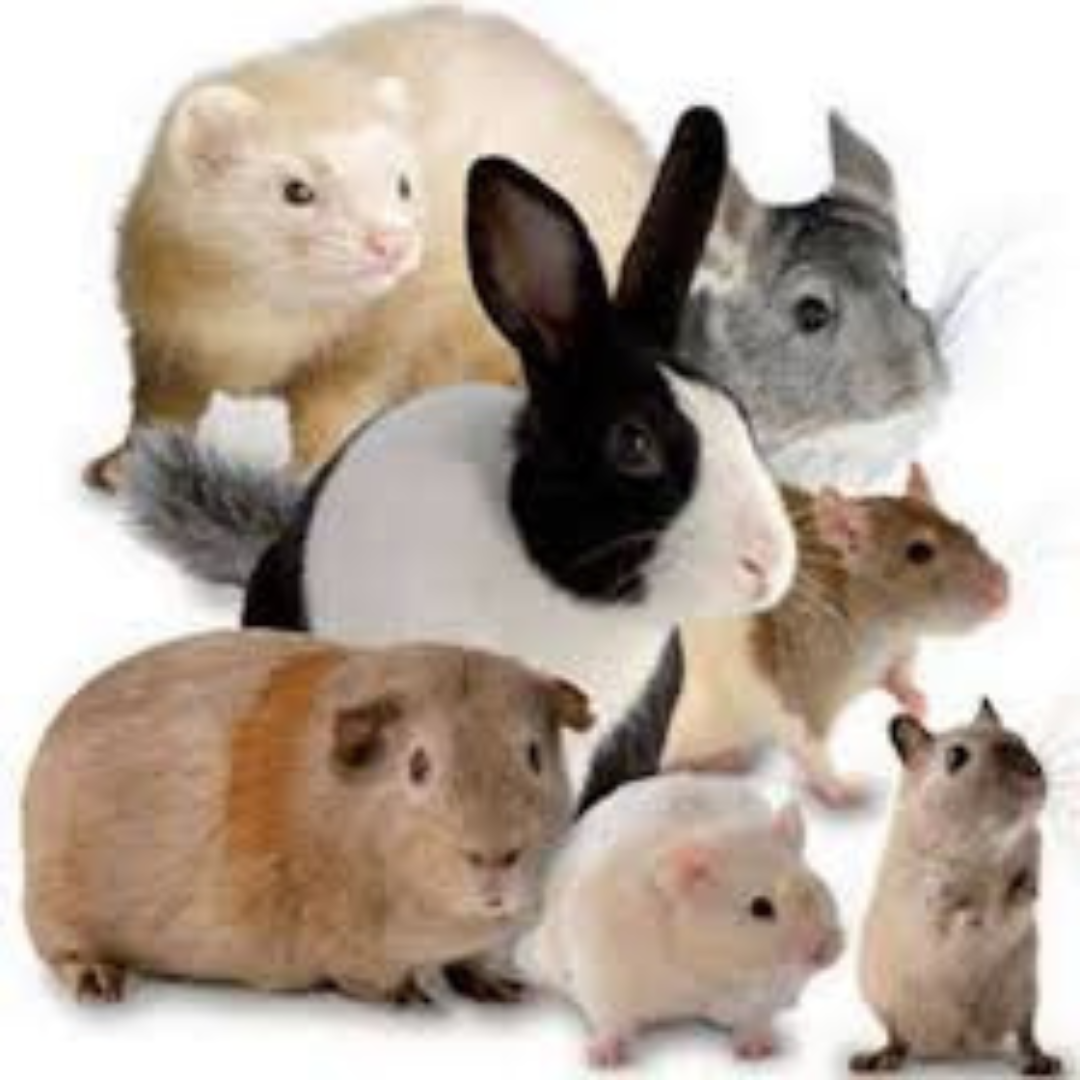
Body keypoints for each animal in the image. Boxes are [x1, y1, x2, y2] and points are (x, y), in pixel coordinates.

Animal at [23, 631, 592, 1005]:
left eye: (534, 756)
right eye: (418, 765)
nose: (495, 856)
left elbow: (471, 961)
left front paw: (504, 990)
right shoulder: (351, 949)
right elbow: (377, 978)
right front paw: (415, 1000)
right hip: (56, 915)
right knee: (60, 951)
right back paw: (100, 986)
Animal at [85, 48, 426, 490]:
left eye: (404, 183)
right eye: (296, 190)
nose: (392, 242)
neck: (254, 336)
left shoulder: (372, 343)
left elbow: (339, 410)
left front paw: (309, 471)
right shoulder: (163, 337)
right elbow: (161, 404)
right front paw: (125, 463)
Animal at [517, 775, 842, 1067]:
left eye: (818, 887)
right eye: (760, 908)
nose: (826, 954)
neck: (701, 967)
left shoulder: (768, 991)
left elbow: (756, 1017)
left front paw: (758, 1049)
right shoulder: (602, 971)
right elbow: (612, 1020)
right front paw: (606, 1058)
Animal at [665, 465, 1009, 808]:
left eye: (969, 532)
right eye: (919, 552)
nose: (1003, 592)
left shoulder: (898, 648)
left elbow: (898, 672)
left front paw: (912, 695)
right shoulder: (800, 681)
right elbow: (807, 742)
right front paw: (840, 789)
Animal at [852, 702, 1062, 1076]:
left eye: (1020, 739)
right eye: (956, 756)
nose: (1033, 773)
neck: (983, 845)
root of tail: (959, 1045)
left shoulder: (1033, 857)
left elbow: (1022, 898)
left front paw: (1020, 892)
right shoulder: (925, 897)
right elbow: (951, 914)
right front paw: (975, 917)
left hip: (1025, 995)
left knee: (1025, 1033)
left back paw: (1041, 1061)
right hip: (885, 1000)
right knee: (897, 1036)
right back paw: (878, 1059)